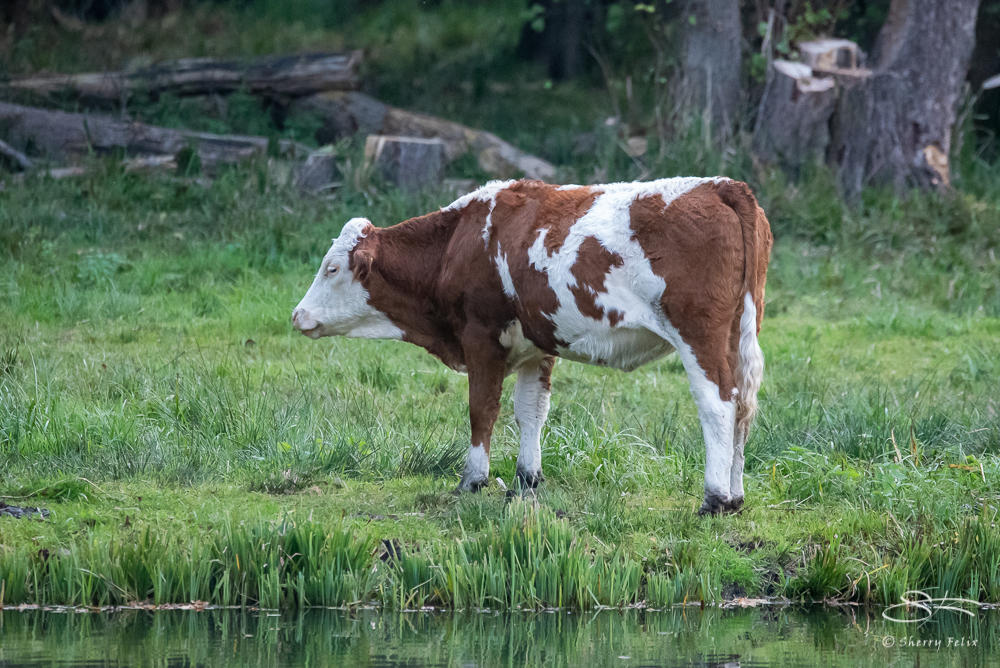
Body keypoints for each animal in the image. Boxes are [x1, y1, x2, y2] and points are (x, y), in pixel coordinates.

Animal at [292, 177, 772, 515]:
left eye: (331, 268)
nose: (298, 315)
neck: (457, 244)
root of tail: (723, 185)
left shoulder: (481, 337)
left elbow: (482, 410)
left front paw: (472, 481)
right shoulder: (536, 347)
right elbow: (530, 411)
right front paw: (527, 480)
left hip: (699, 333)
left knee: (718, 404)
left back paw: (714, 499)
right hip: (740, 333)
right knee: (743, 407)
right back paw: (735, 497)